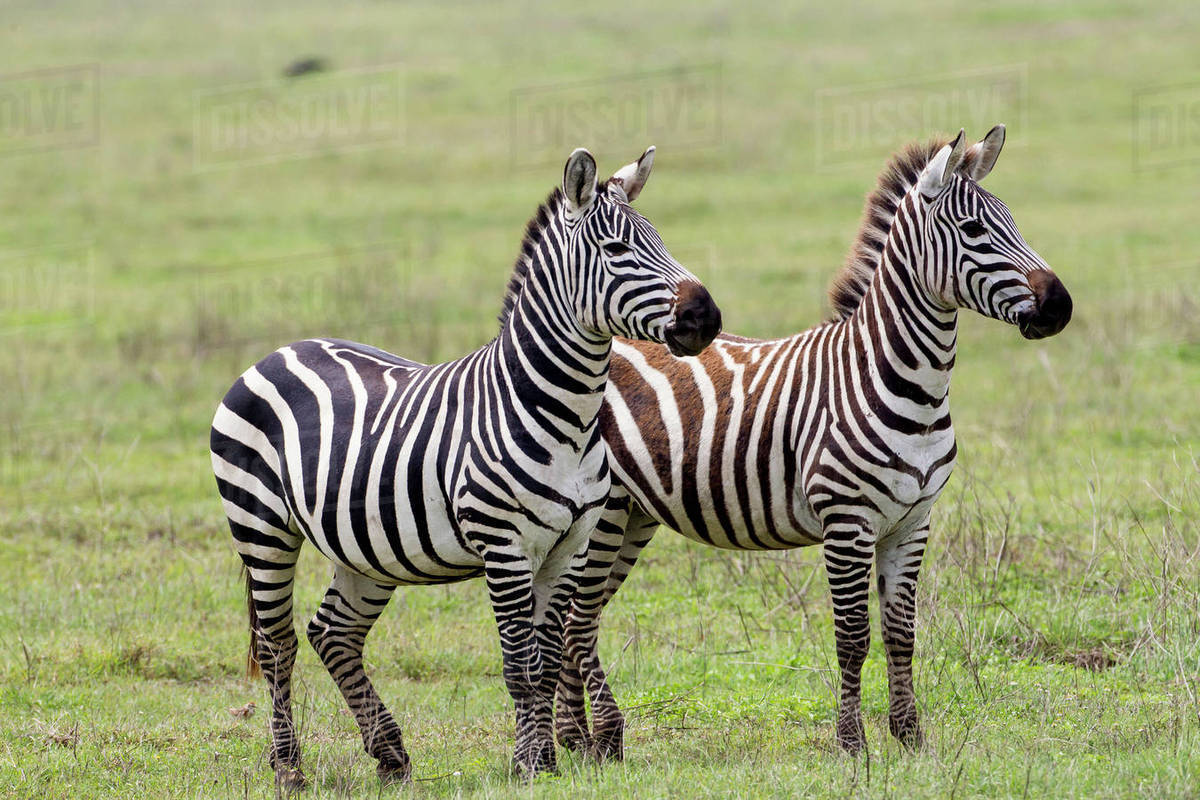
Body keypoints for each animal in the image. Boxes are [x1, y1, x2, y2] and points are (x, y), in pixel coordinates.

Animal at [209, 145, 722, 788]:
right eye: (615, 250)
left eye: (659, 239)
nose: (706, 316)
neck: (566, 418)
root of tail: (277, 351)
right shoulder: (503, 548)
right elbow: (521, 666)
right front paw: (529, 765)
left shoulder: (570, 545)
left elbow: (547, 658)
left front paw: (546, 760)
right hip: (261, 528)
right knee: (278, 645)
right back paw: (289, 771)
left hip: (364, 548)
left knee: (333, 633)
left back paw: (391, 756)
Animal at [554, 126, 1073, 758]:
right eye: (975, 230)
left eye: (1013, 221)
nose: (1061, 306)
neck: (905, 381)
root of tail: (604, 333)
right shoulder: (846, 521)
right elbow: (853, 637)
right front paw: (852, 744)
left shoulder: (912, 521)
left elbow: (902, 634)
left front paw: (910, 738)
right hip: (602, 516)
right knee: (576, 621)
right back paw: (594, 740)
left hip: (632, 515)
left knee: (576, 619)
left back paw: (574, 739)